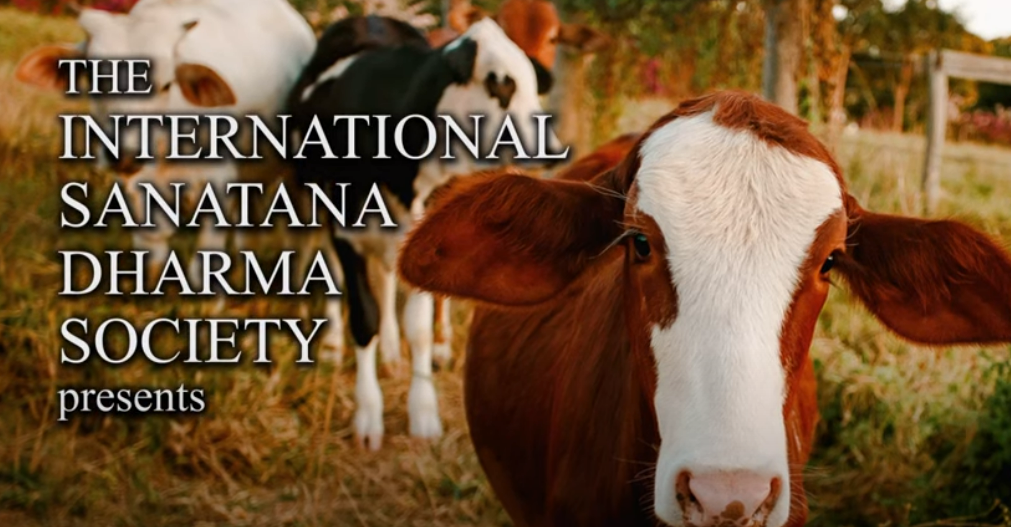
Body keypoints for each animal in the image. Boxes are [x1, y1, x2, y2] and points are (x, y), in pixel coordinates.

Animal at [290, 15, 562, 450]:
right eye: (499, 84)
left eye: (533, 85)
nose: (550, 151)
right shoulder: (344, 232)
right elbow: (363, 317)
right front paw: (368, 415)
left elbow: (416, 329)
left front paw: (422, 411)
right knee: (328, 270)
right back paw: (333, 344)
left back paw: (390, 353)